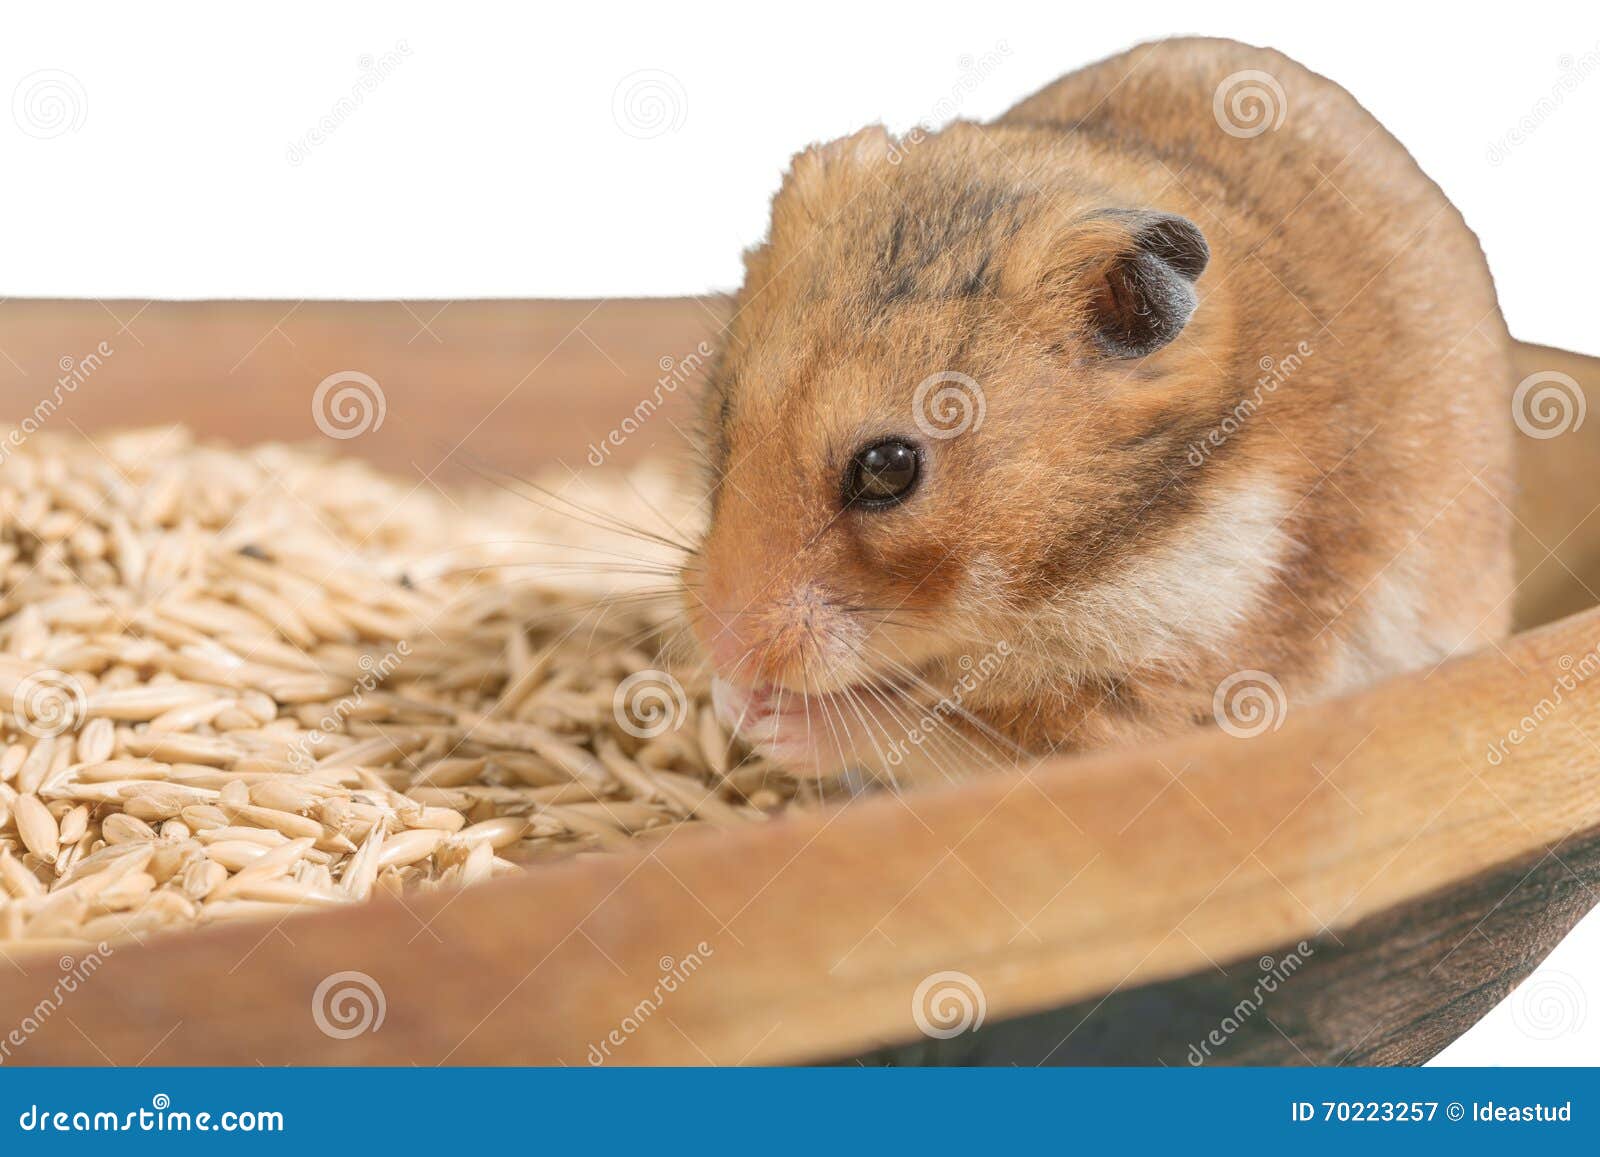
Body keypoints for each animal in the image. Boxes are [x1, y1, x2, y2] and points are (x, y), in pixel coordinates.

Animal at [681, 37, 1513, 783]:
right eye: (724, 409)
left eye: (888, 469)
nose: (722, 647)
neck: (1093, 561)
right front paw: (728, 697)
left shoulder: (1158, 694)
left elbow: (920, 727)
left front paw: (771, 716)